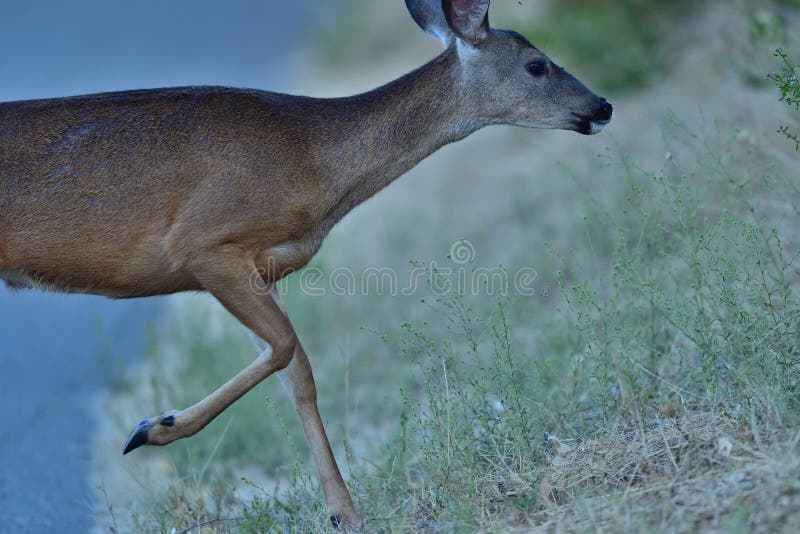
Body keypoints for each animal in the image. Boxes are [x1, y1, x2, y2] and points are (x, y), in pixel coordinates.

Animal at [0, 0, 611, 529]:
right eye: (536, 64)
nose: (603, 106)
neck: (316, 163)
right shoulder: (202, 242)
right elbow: (285, 347)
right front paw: (152, 427)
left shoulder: (257, 268)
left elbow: (299, 373)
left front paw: (346, 512)